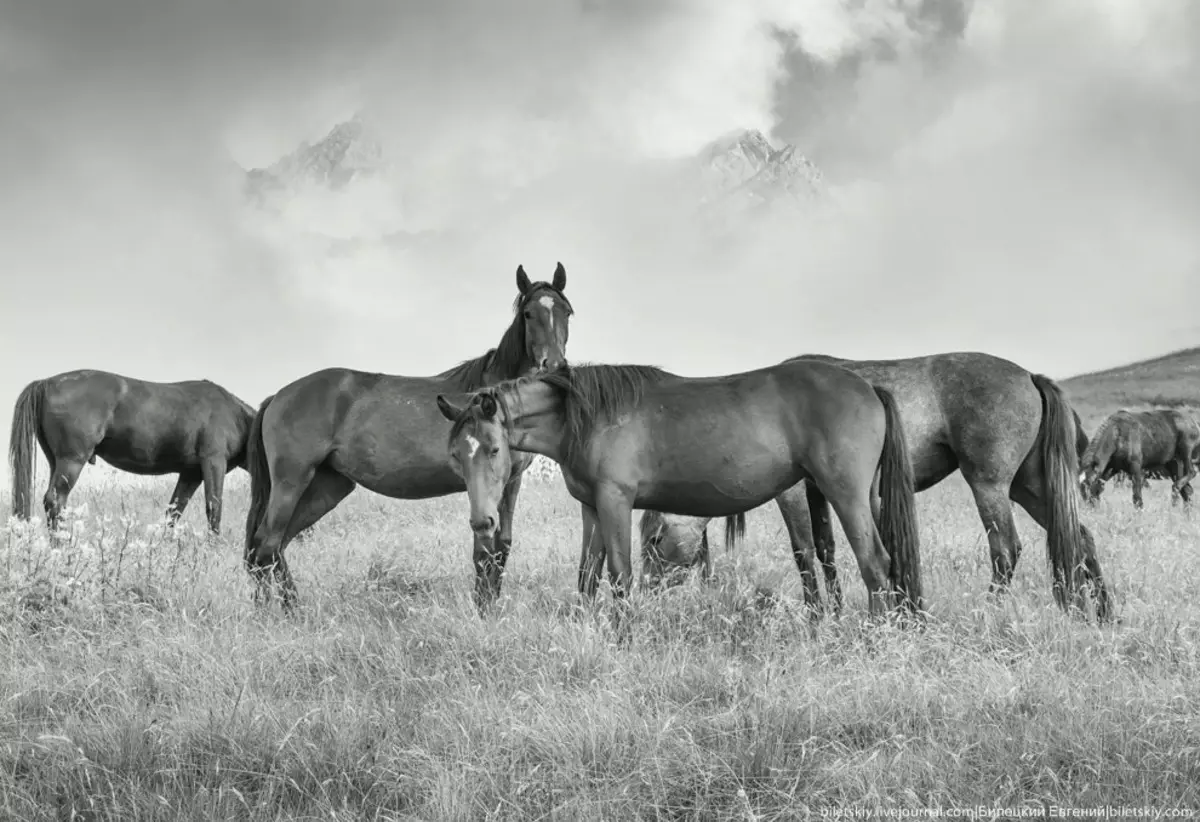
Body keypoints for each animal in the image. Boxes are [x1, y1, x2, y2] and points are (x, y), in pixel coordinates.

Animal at [7, 369, 255, 532]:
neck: (235, 416)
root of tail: (46, 382)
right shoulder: (213, 463)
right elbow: (214, 509)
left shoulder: (190, 474)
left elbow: (173, 512)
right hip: (71, 461)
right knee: (55, 501)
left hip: (56, 462)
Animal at [243, 262, 571, 609]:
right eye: (528, 313)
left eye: (566, 311)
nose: (553, 364)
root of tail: (277, 396)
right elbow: (483, 551)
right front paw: (481, 608)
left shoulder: (510, 481)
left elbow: (502, 546)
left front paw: (491, 605)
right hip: (291, 483)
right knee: (265, 545)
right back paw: (269, 612)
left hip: (327, 487)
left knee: (277, 545)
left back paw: (293, 608)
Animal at [436, 360, 921, 624]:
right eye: (456, 455)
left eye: (494, 448)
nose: (482, 522)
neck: (587, 417)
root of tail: (869, 387)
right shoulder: (592, 507)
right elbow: (588, 577)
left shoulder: (615, 501)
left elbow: (620, 575)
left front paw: (623, 637)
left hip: (845, 495)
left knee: (875, 565)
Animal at [633, 348, 1108, 624]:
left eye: (654, 539)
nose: (645, 592)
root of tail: (1029, 375)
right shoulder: (820, 491)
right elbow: (826, 550)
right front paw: (837, 611)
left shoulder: (792, 494)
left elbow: (803, 552)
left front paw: (817, 616)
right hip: (1029, 487)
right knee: (1078, 537)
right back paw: (1096, 613)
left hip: (989, 485)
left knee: (1006, 549)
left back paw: (987, 614)